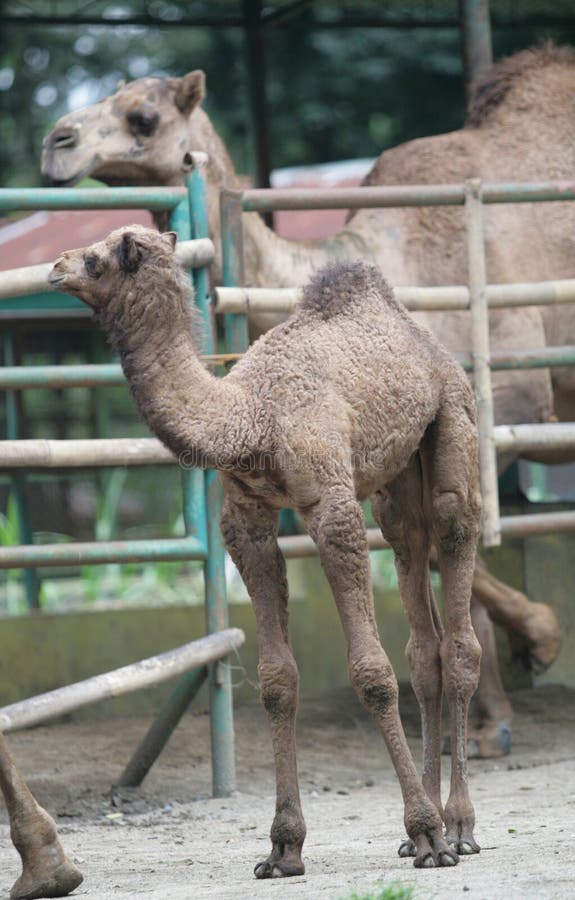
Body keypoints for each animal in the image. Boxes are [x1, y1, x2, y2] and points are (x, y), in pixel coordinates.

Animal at [41, 44, 571, 757]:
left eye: (143, 116)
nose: (55, 144)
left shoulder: (508, 404)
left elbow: (455, 540)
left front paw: (523, 672)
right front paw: (502, 699)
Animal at [49, 224, 482, 875]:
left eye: (100, 258)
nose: (55, 266)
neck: (250, 415)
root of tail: (425, 340)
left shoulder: (331, 505)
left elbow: (372, 672)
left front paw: (427, 833)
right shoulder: (245, 520)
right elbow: (277, 680)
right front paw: (282, 848)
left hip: (453, 422)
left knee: (457, 613)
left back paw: (455, 829)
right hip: (396, 483)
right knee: (419, 617)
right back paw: (422, 831)